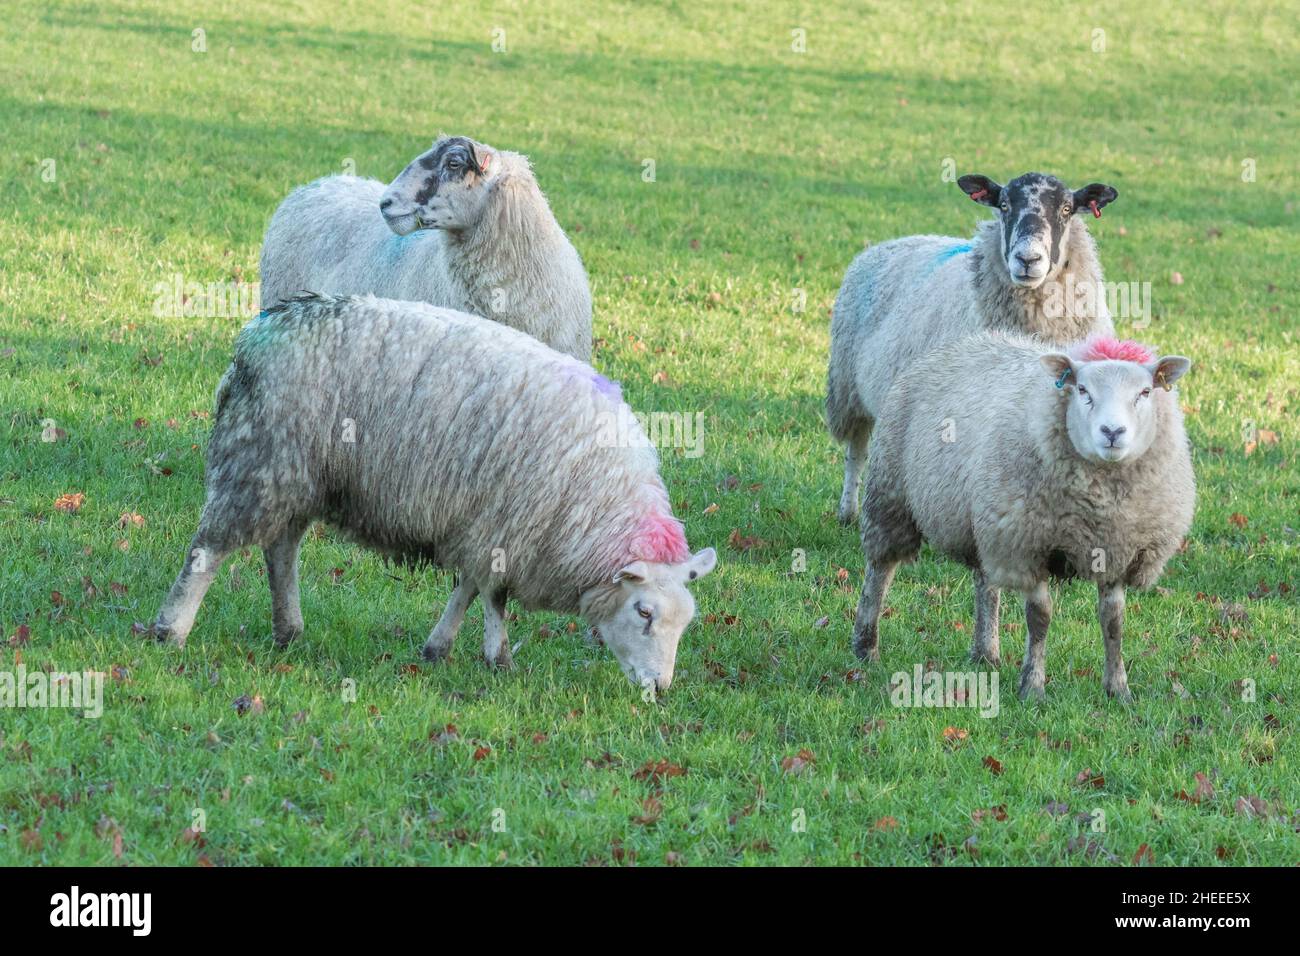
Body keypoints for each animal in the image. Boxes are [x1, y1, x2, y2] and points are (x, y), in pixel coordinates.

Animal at [149, 293, 716, 693]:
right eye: (644, 613)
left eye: (685, 623)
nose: (661, 688)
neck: (599, 504)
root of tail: (254, 335)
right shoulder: (507, 525)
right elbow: (494, 597)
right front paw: (499, 659)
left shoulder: (482, 525)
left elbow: (468, 586)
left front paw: (439, 648)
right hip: (261, 456)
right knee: (211, 548)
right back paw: (170, 630)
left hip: (297, 473)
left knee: (280, 549)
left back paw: (288, 629)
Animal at [851, 332, 1194, 701]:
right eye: (1082, 389)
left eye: (1144, 392)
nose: (1112, 431)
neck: (1099, 504)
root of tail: (967, 341)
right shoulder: (1028, 546)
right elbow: (1039, 618)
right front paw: (1033, 686)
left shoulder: (1119, 552)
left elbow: (1114, 621)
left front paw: (1118, 689)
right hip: (891, 493)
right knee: (880, 572)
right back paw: (865, 646)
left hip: (987, 522)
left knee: (985, 582)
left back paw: (985, 653)